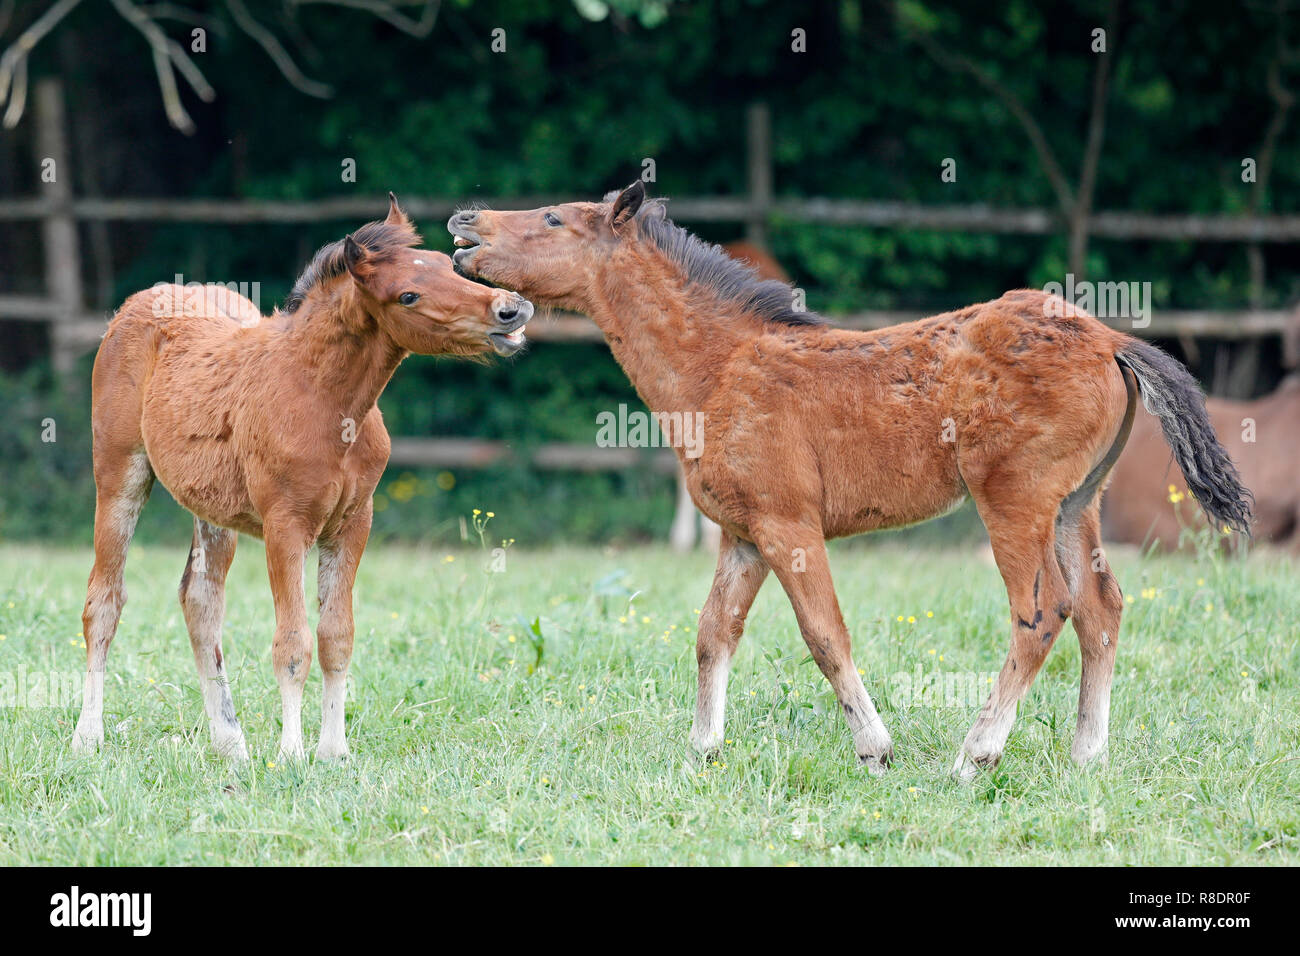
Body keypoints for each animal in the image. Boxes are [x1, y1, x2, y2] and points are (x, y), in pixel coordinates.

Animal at [73, 196, 533, 762]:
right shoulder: (285, 526)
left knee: (200, 601)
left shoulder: (354, 523)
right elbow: (293, 645)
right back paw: (87, 736)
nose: (510, 310)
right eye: (408, 295)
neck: (326, 399)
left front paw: (334, 751)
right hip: (120, 471)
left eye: (449, 266)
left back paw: (230, 741)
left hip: (212, 510)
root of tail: (139, 302)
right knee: (104, 601)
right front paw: (292, 754)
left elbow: (337, 638)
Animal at [447, 181, 1252, 777]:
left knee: (1042, 610)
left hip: (1016, 501)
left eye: (552, 217)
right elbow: (713, 633)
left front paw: (875, 748)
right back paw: (1086, 755)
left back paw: (976, 754)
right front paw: (703, 749)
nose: (463, 219)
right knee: (1100, 608)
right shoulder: (743, 535)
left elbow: (823, 633)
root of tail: (1112, 339)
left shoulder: (788, 525)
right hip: (1075, 505)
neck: (719, 366)